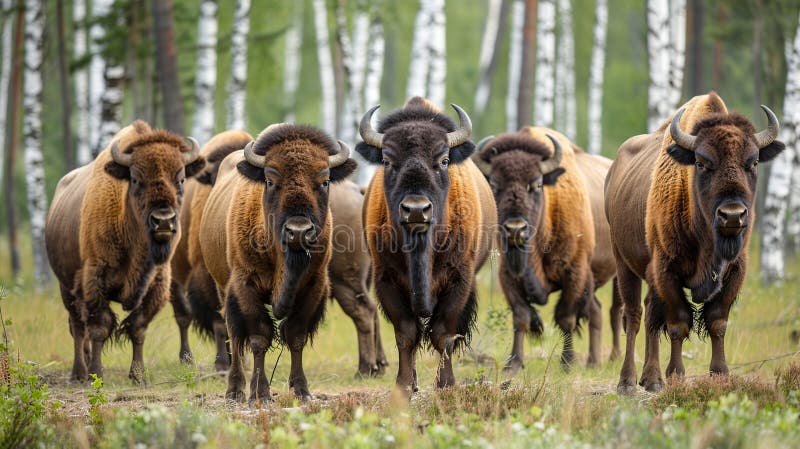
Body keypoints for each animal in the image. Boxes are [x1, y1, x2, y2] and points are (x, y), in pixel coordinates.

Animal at [45, 121, 205, 382]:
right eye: (136, 179)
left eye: (181, 179)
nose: (163, 221)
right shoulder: (94, 280)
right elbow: (99, 328)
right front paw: (96, 374)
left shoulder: (157, 284)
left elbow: (138, 327)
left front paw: (138, 376)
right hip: (65, 285)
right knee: (77, 326)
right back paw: (79, 372)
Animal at [200, 124, 356, 402]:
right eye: (270, 180)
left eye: (325, 181)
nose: (298, 231)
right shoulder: (245, 286)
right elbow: (258, 337)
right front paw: (259, 393)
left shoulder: (313, 286)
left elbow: (295, 335)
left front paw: (301, 390)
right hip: (223, 287)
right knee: (233, 333)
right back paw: (234, 389)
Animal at [357, 97, 497, 391]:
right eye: (386, 159)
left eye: (443, 160)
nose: (416, 210)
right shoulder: (385, 280)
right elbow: (407, 333)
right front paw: (404, 384)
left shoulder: (459, 280)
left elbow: (443, 333)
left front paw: (446, 384)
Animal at [605, 92, 784, 393]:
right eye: (701, 162)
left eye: (753, 162)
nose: (732, 215)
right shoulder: (667, 270)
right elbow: (678, 322)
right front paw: (676, 375)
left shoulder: (735, 272)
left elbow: (717, 321)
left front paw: (720, 374)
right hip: (623, 262)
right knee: (633, 315)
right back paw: (629, 382)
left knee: (651, 315)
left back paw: (650, 379)